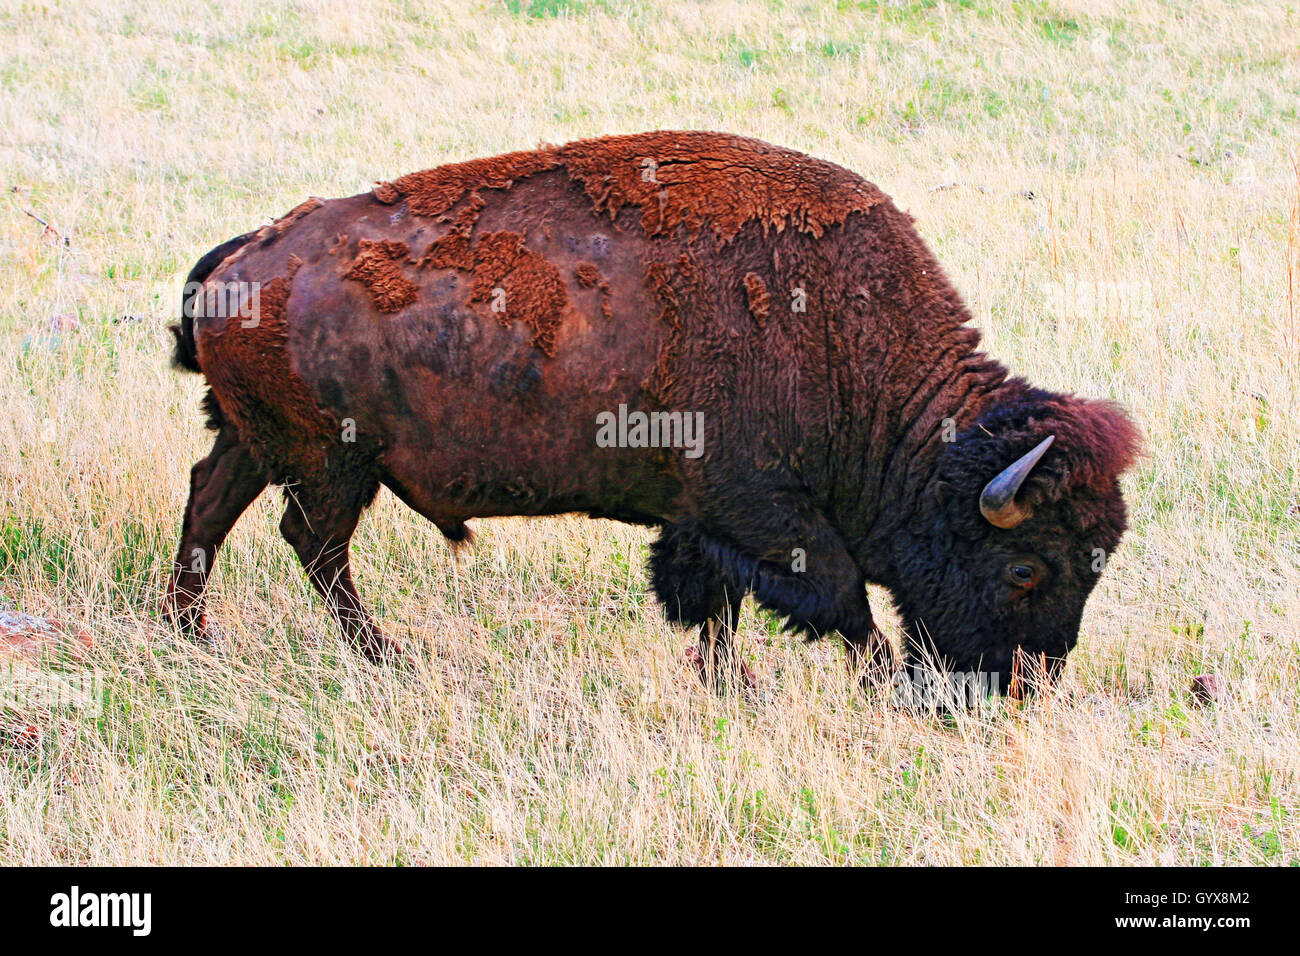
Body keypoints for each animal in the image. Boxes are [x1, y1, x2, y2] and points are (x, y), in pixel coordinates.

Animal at [164, 131, 1138, 696]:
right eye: (1026, 568)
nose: (1022, 689)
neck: (838, 331)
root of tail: (246, 256)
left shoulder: (706, 521)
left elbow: (716, 603)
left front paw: (725, 685)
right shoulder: (765, 510)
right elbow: (841, 600)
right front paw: (873, 685)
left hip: (255, 439)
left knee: (212, 503)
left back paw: (190, 632)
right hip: (331, 462)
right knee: (313, 543)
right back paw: (384, 657)